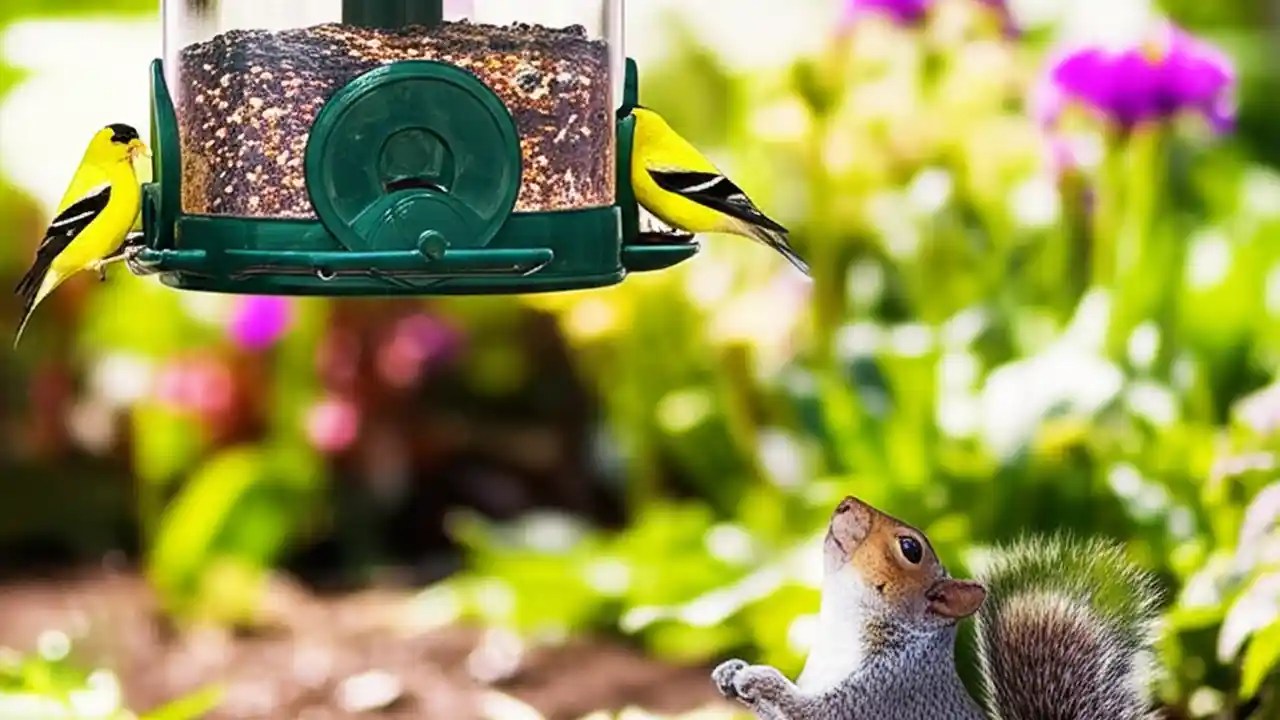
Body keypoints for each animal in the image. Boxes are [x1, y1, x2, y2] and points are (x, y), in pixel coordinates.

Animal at [712, 495, 1162, 720]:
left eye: (911, 549)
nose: (845, 504)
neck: (844, 627)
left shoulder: (885, 694)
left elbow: (811, 711)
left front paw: (761, 678)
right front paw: (730, 670)